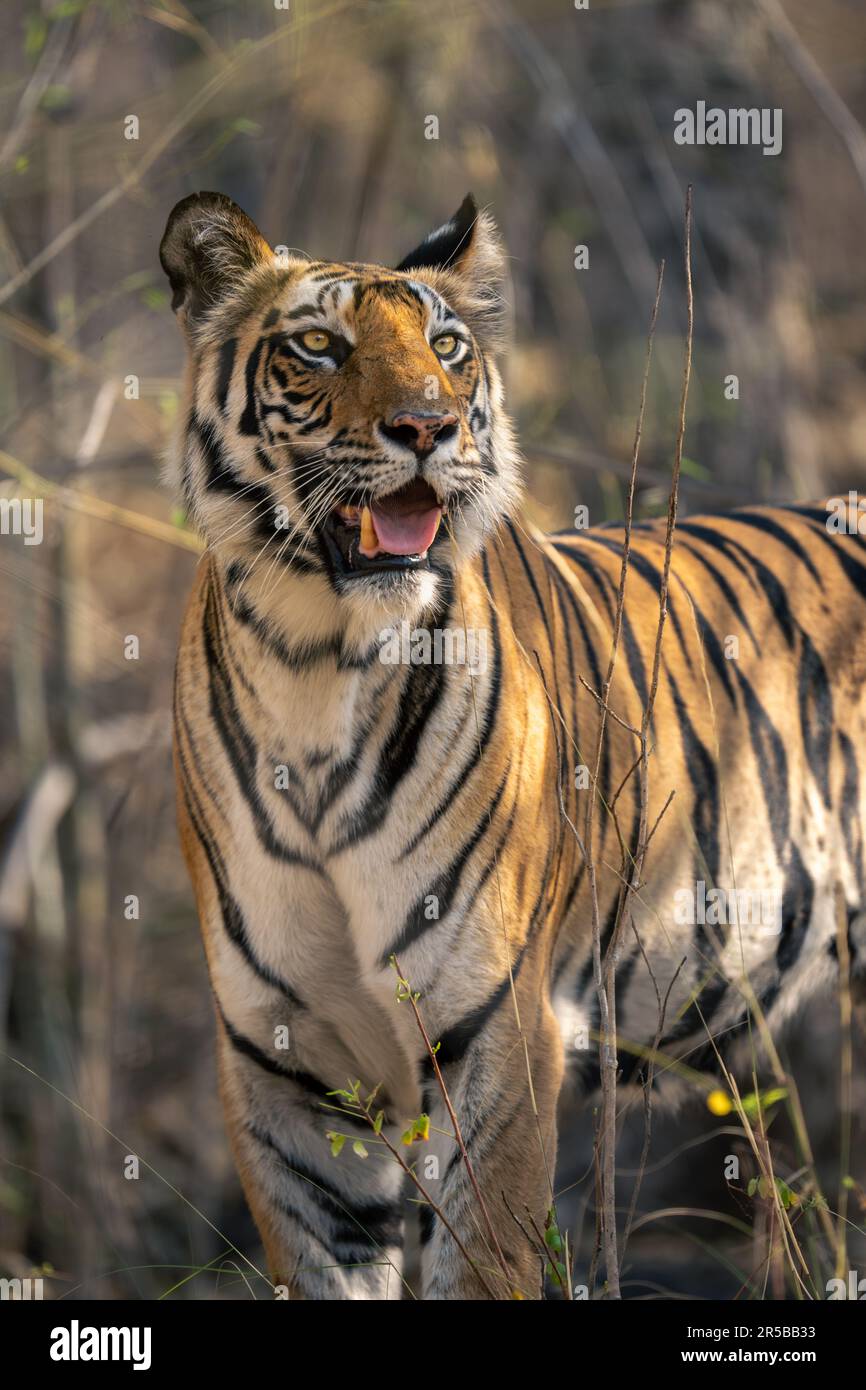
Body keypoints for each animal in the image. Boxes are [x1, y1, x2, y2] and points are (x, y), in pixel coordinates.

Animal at [161, 190, 866, 1301]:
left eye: (446, 347)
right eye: (317, 345)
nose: (427, 426)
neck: (315, 663)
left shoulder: (497, 1032)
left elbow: (483, 1260)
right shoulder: (283, 1070)